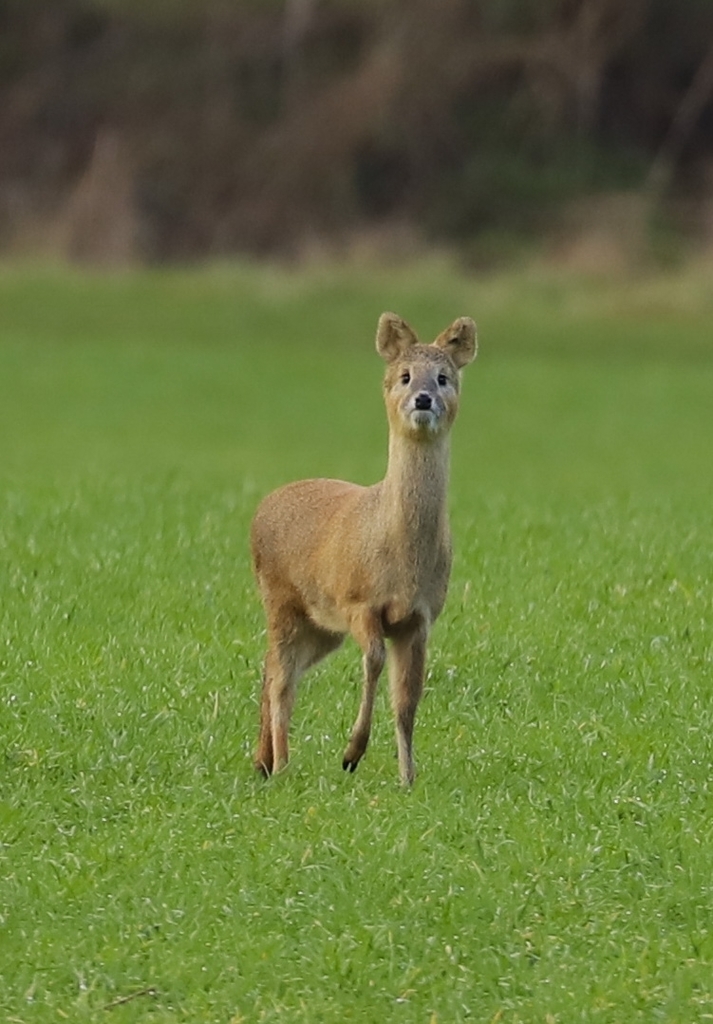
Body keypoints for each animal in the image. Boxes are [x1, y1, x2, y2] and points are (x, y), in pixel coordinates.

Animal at [250, 312, 477, 785]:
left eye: (443, 377)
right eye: (405, 375)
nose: (423, 399)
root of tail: (261, 509)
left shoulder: (421, 616)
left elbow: (408, 697)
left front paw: (407, 778)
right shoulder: (359, 602)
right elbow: (373, 661)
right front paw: (352, 752)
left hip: (320, 626)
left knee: (277, 671)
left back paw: (264, 761)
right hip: (280, 599)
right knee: (279, 677)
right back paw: (281, 766)